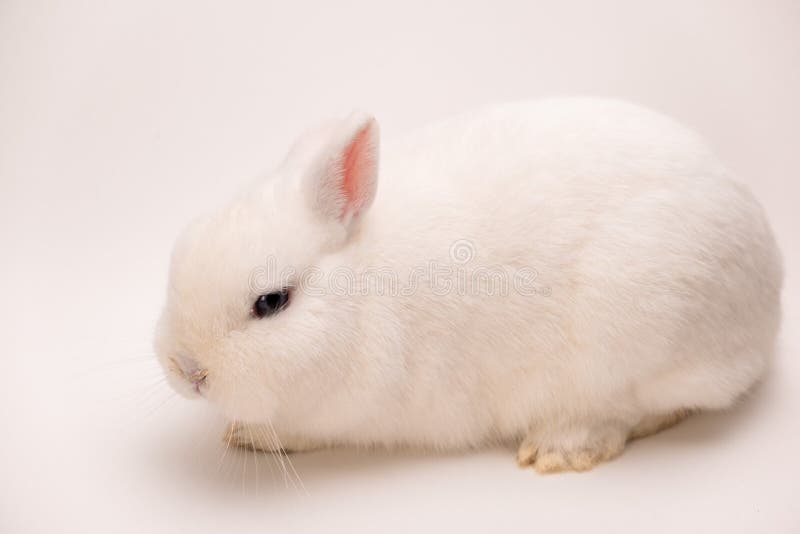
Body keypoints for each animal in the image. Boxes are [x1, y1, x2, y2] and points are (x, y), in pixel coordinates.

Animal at [154, 98, 782, 473]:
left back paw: (559, 448)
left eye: (271, 302)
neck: (363, 294)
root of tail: (769, 289)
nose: (188, 370)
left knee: (645, 409)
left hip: (639, 346)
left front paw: (255, 435)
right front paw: (241, 431)